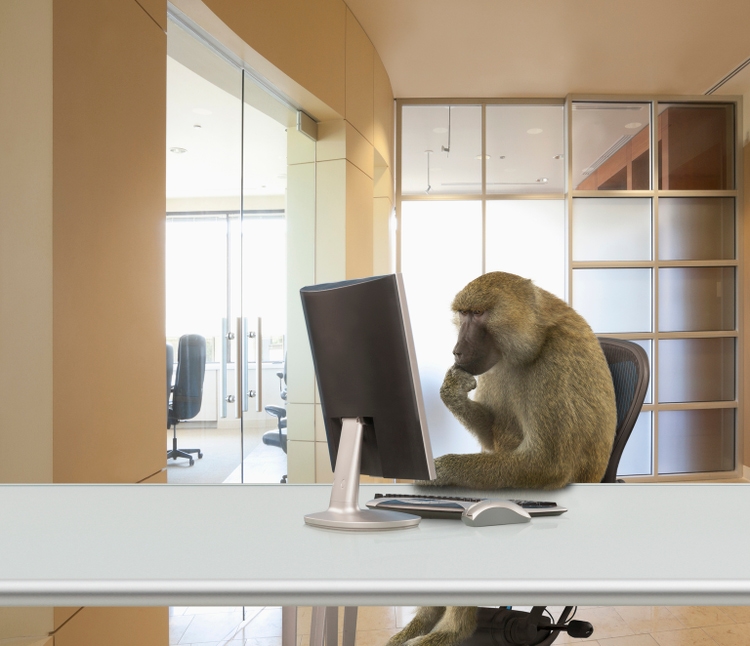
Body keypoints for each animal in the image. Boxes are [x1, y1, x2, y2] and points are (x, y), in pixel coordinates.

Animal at [386, 271, 617, 646]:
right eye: (463, 314)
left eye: (478, 314)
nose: (457, 350)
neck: (537, 333)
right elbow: (492, 432)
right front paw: (452, 389)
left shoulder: (557, 359)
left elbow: (547, 464)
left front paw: (438, 469)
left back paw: (448, 632)